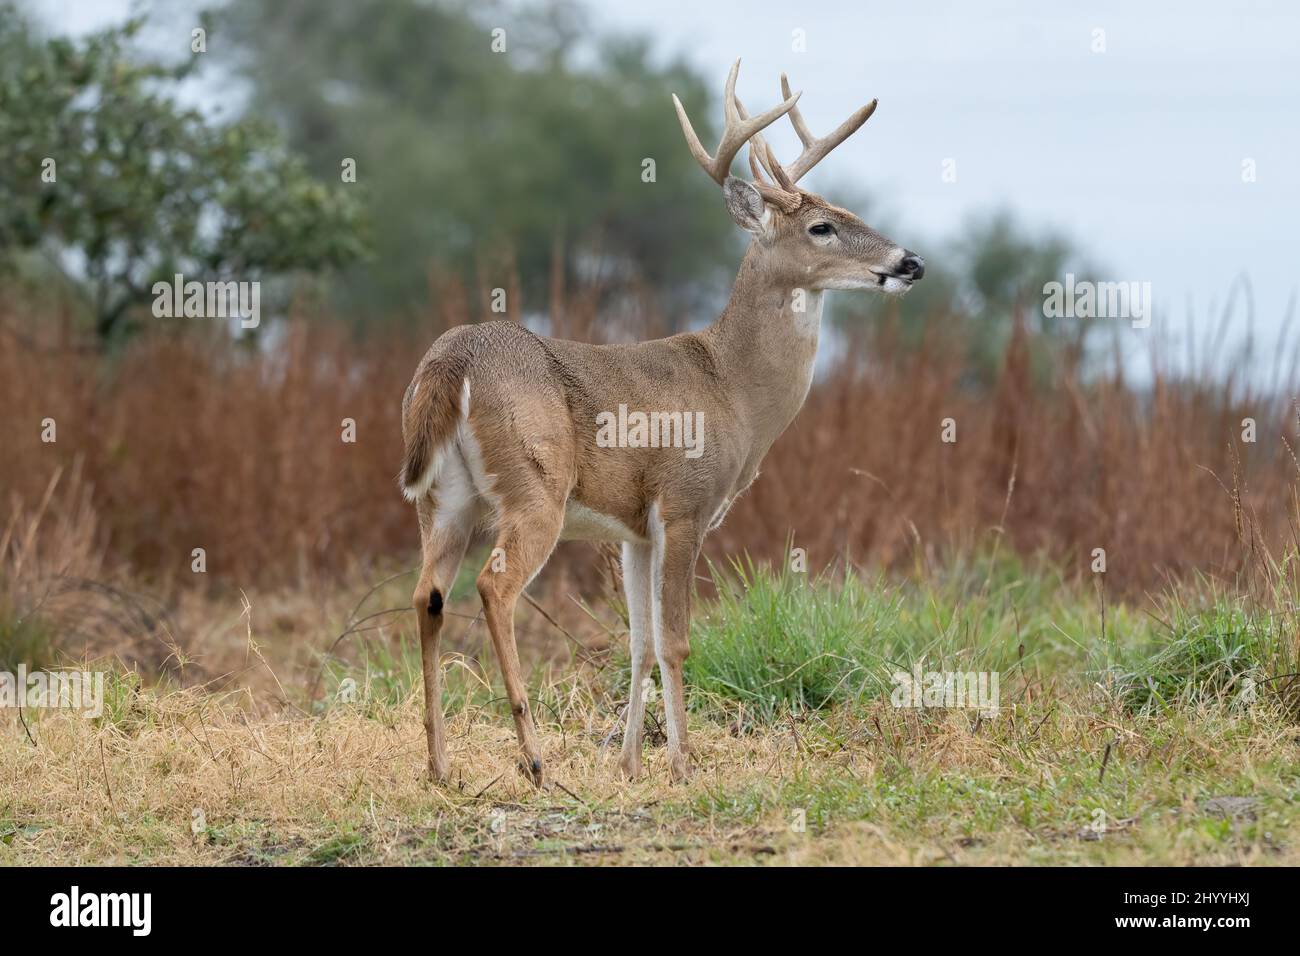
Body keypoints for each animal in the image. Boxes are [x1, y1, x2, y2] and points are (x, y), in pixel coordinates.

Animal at [400, 60, 924, 787]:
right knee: (492, 587)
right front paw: (682, 762)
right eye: (822, 227)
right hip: (534, 486)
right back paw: (533, 760)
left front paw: (630, 763)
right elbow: (675, 640)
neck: (733, 387)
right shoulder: (685, 502)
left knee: (427, 594)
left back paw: (439, 765)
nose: (910, 263)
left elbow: (639, 641)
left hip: (440, 498)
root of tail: (450, 363)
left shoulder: (634, 531)